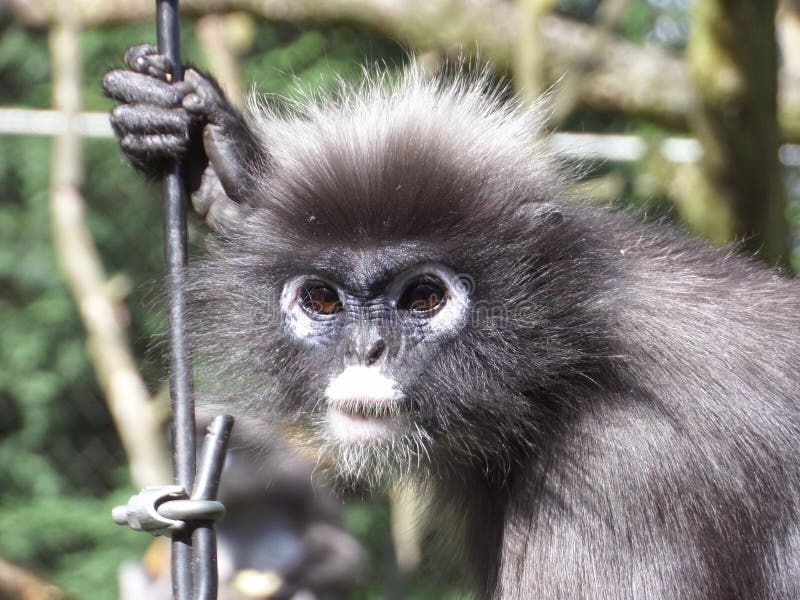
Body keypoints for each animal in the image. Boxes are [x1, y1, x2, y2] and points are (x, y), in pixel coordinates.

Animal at [103, 45, 800, 599]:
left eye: (423, 297)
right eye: (323, 301)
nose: (367, 348)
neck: (572, 357)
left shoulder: (626, 472)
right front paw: (220, 163)